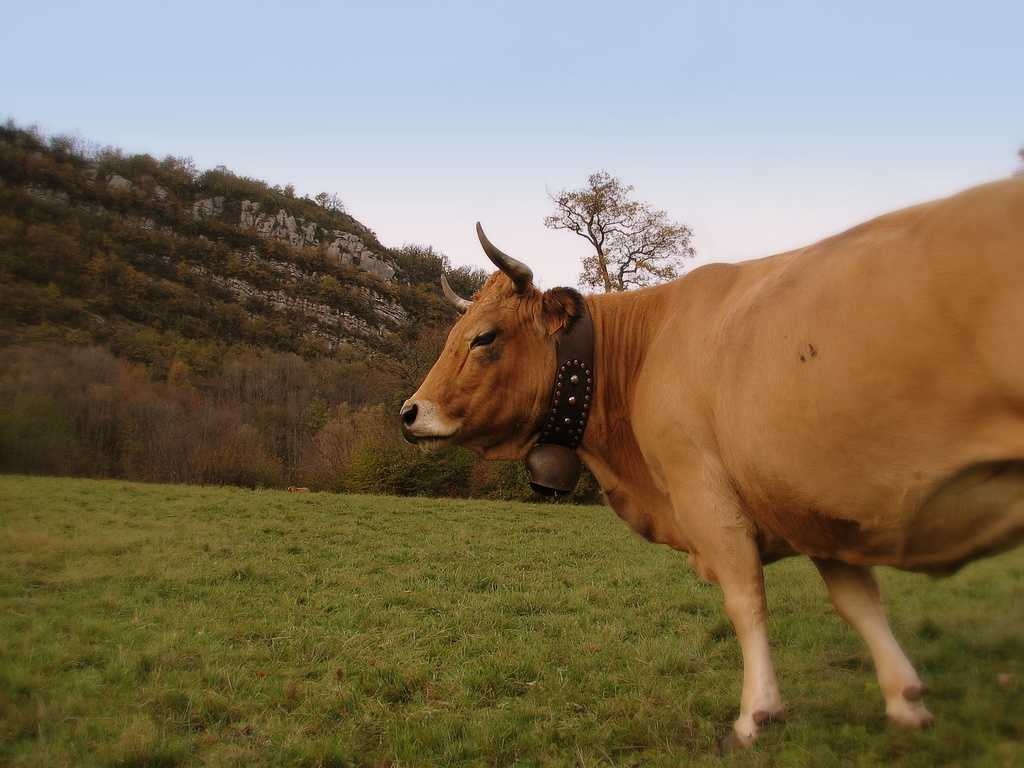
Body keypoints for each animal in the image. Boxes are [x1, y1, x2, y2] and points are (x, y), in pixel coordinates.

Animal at [399, 177, 1024, 748]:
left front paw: (757, 713)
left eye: (485, 337)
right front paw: (905, 699)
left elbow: (745, 599)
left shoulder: (704, 493)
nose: (410, 412)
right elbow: (859, 604)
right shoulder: (811, 501)